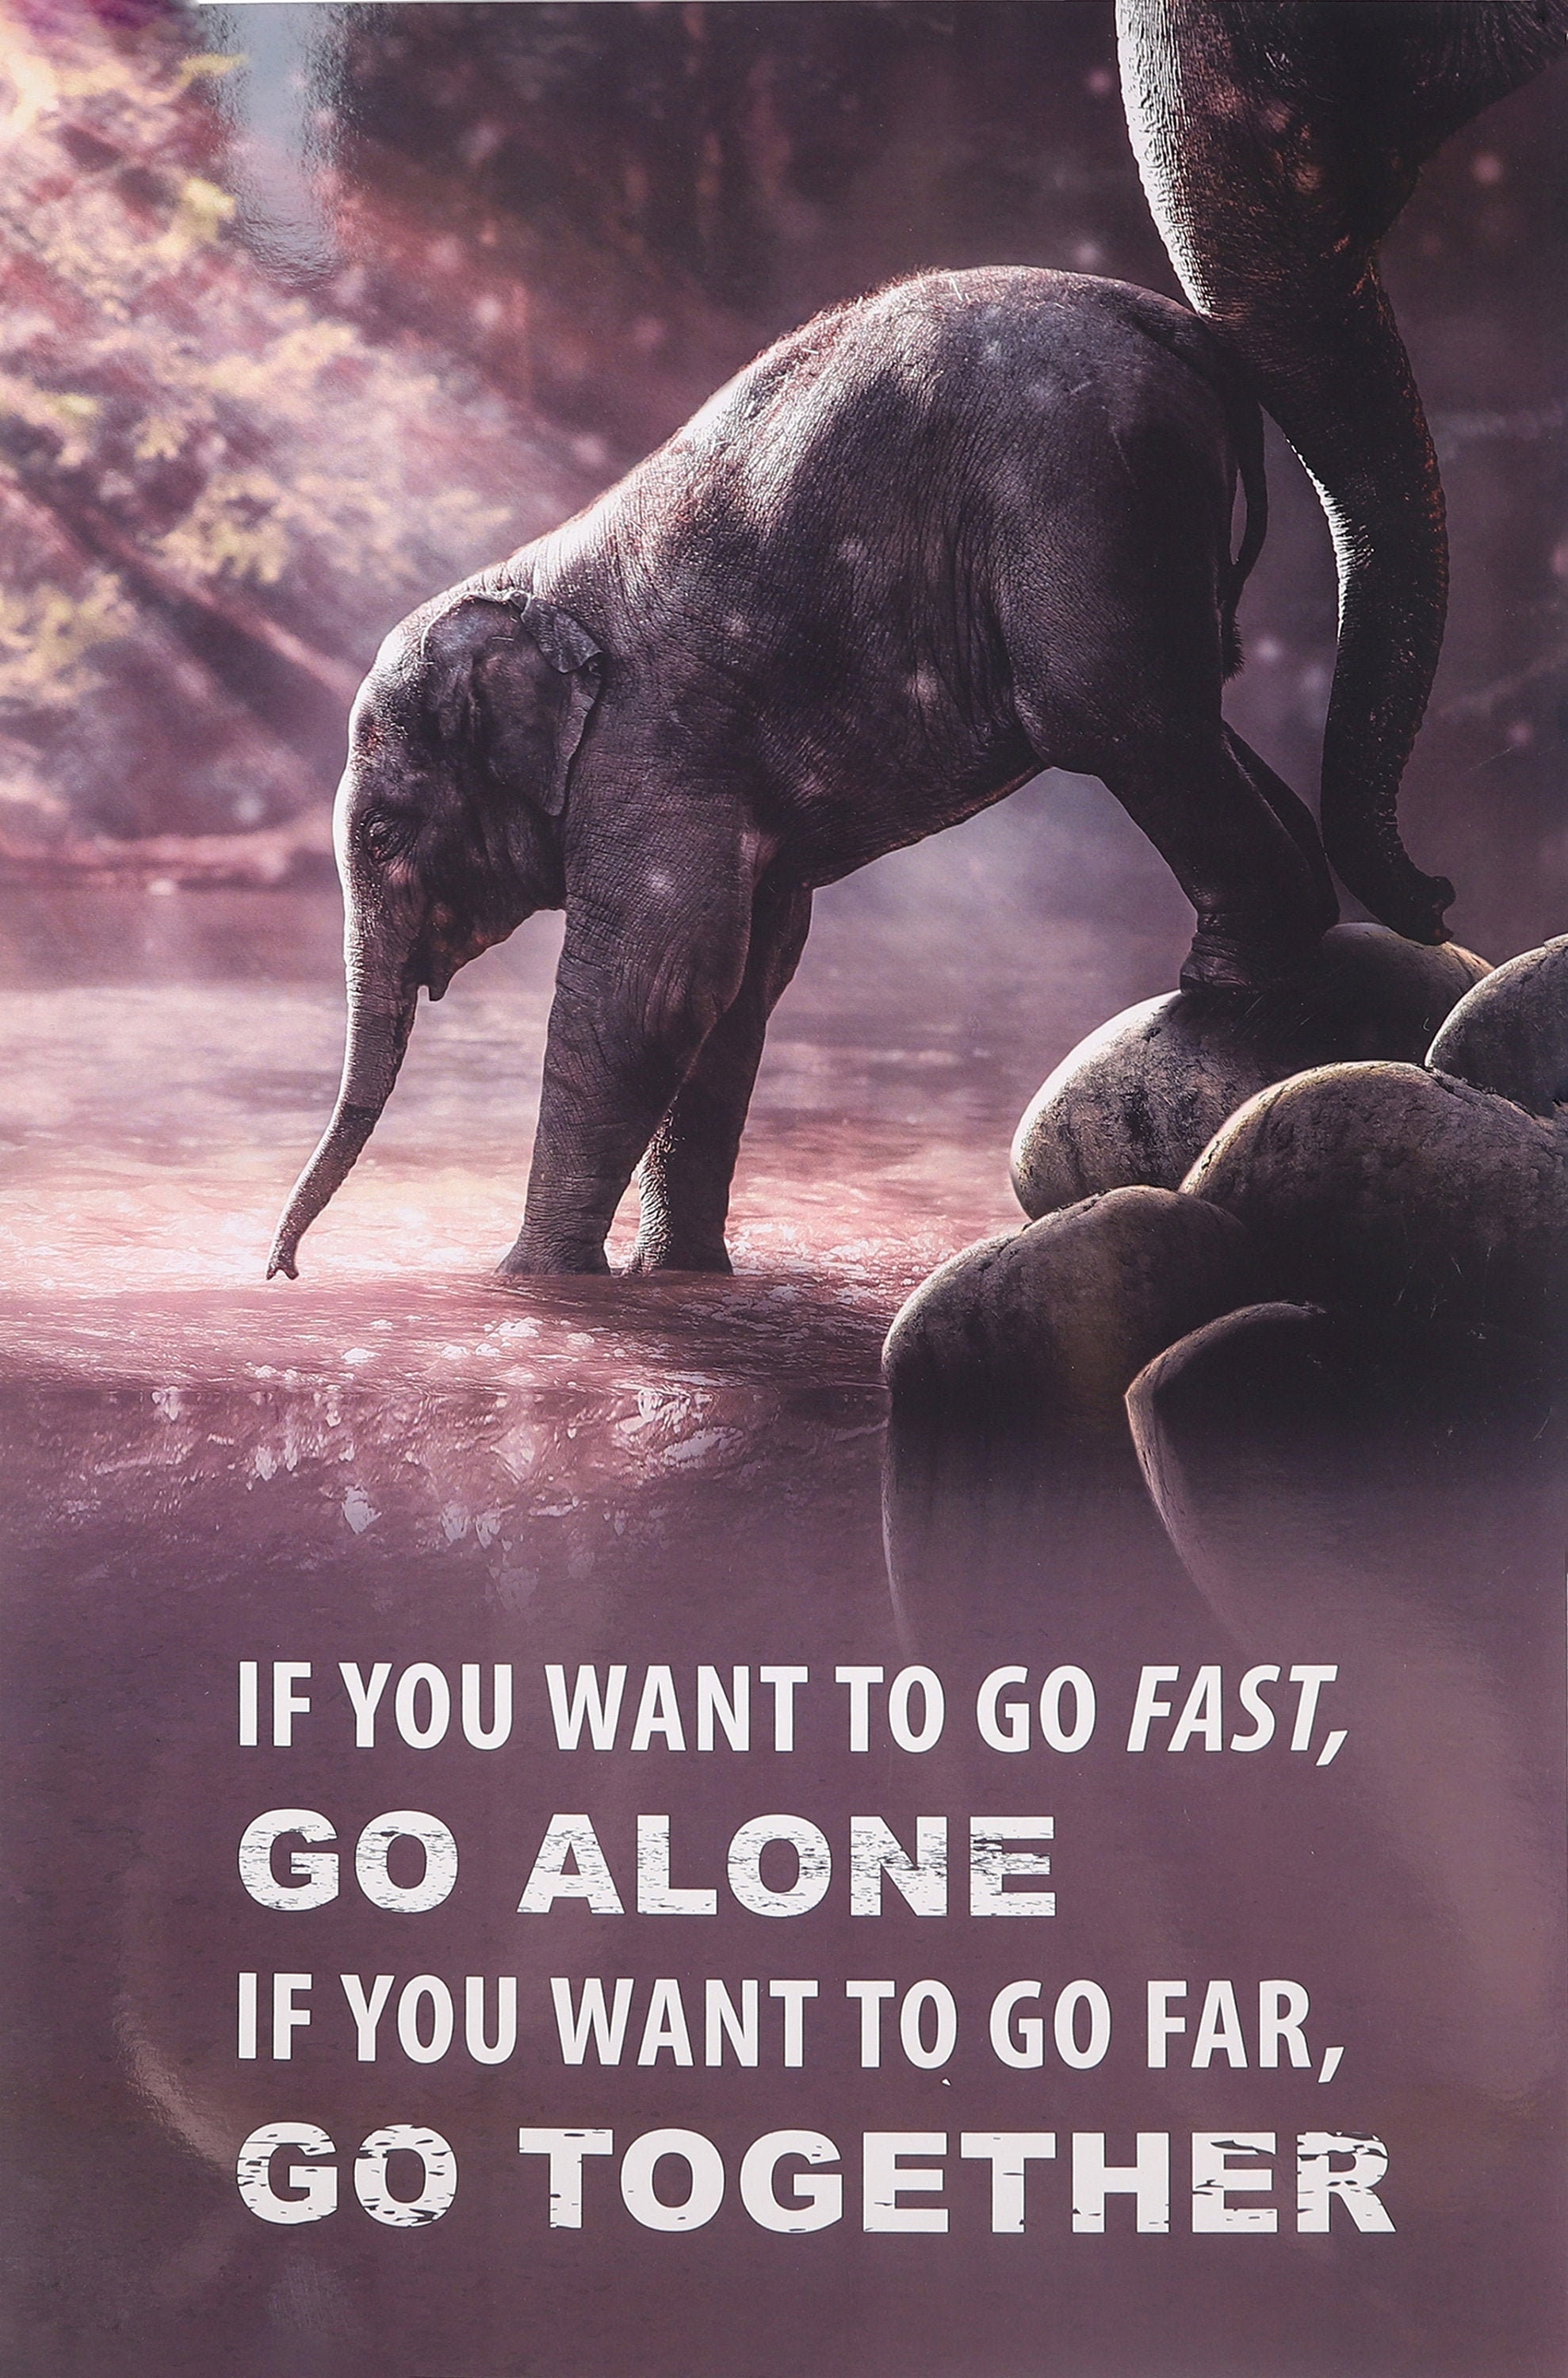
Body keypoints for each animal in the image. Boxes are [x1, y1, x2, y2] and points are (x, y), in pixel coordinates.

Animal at [268, 265, 1341, 1282]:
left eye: (382, 836)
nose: (283, 1268)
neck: (524, 580)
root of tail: (1170, 323)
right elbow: (742, 983)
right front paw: (677, 1278)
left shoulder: (650, 748)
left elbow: (654, 983)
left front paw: (531, 1284)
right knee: (1191, 705)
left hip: (1082, 492)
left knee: (1110, 713)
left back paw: (1228, 975)